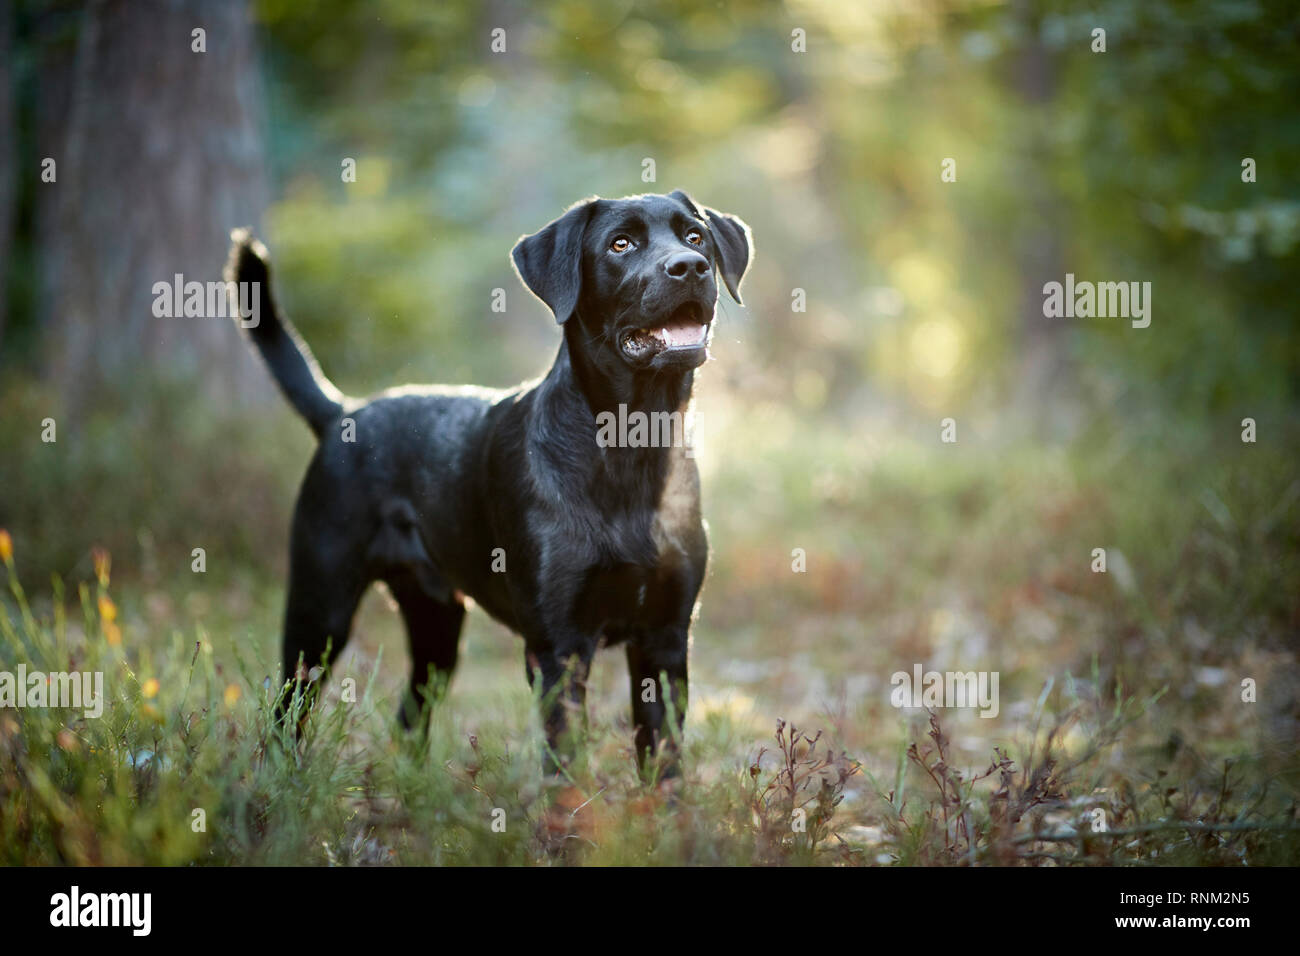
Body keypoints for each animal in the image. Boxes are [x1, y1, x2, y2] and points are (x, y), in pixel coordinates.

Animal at [223, 188, 754, 780]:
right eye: (621, 244)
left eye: (695, 236)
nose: (690, 267)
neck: (630, 449)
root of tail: (343, 410)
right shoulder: (557, 647)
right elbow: (565, 763)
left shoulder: (665, 637)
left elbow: (664, 762)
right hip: (320, 609)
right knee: (287, 710)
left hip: (436, 624)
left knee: (409, 717)